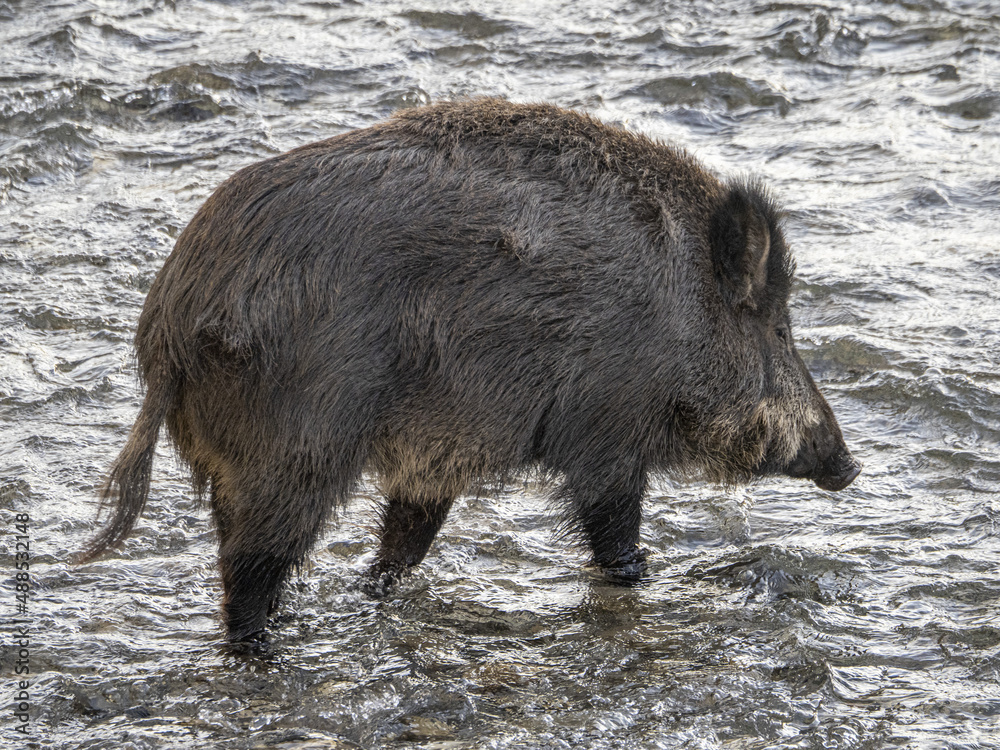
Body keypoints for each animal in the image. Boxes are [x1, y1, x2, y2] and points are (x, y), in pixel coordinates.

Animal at [82, 98, 860, 643]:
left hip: (234, 460)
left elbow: (403, 543)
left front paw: (378, 594)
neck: (683, 309)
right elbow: (613, 537)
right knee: (249, 571)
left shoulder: (433, 462)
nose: (849, 467)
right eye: (782, 328)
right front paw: (640, 584)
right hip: (297, 448)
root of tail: (171, 325)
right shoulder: (607, 433)